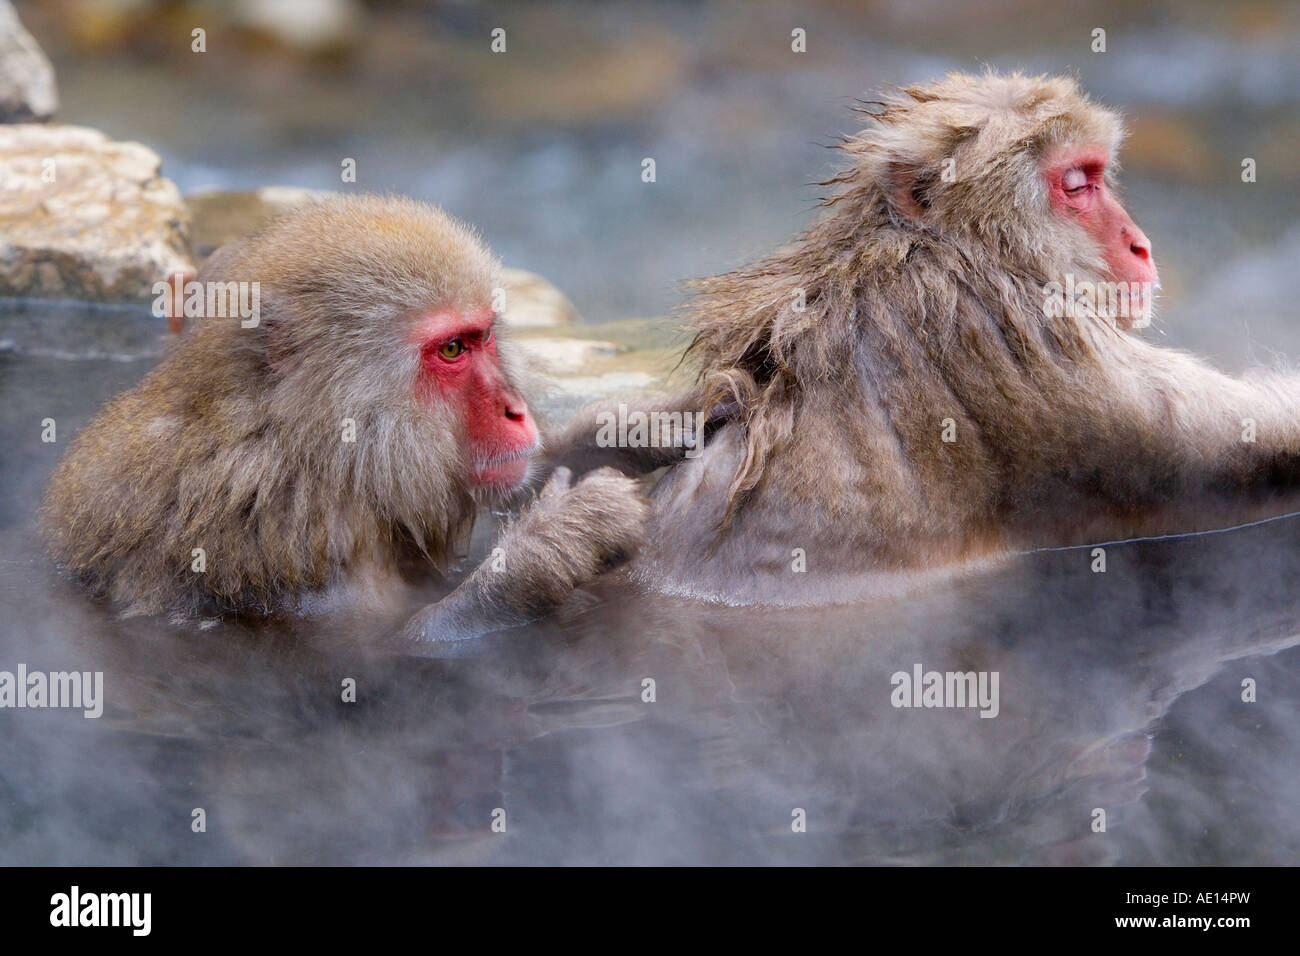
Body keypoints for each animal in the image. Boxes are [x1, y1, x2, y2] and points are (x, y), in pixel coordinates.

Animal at [40, 194, 647, 640]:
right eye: (452, 350)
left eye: (485, 337)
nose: (515, 411)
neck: (311, 450)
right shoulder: (277, 533)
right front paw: (554, 541)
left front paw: (620, 431)